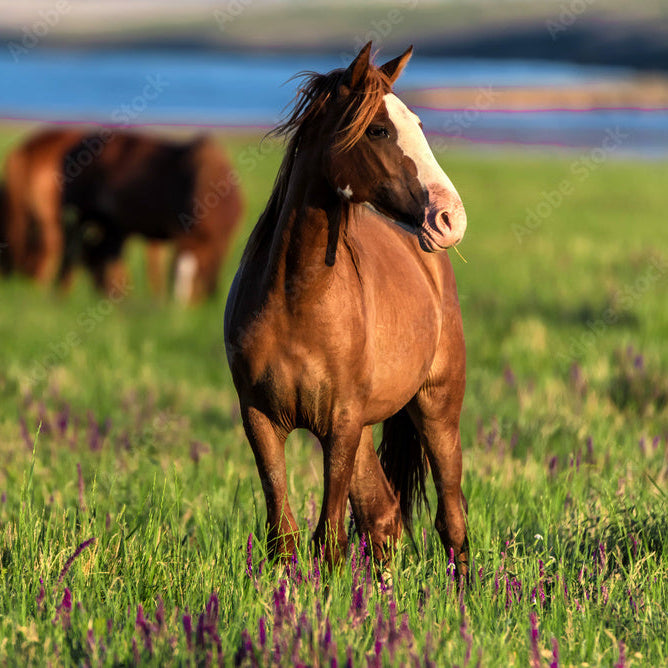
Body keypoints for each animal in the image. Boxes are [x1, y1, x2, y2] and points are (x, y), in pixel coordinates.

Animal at [224, 43, 469, 575]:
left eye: (418, 123)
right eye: (378, 129)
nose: (450, 218)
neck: (297, 299)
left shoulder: (340, 424)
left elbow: (329, 541)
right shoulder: (261, 420)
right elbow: (285, 537)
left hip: (436, 410)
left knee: (451, 520)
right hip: (365, 431)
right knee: (384, 516)